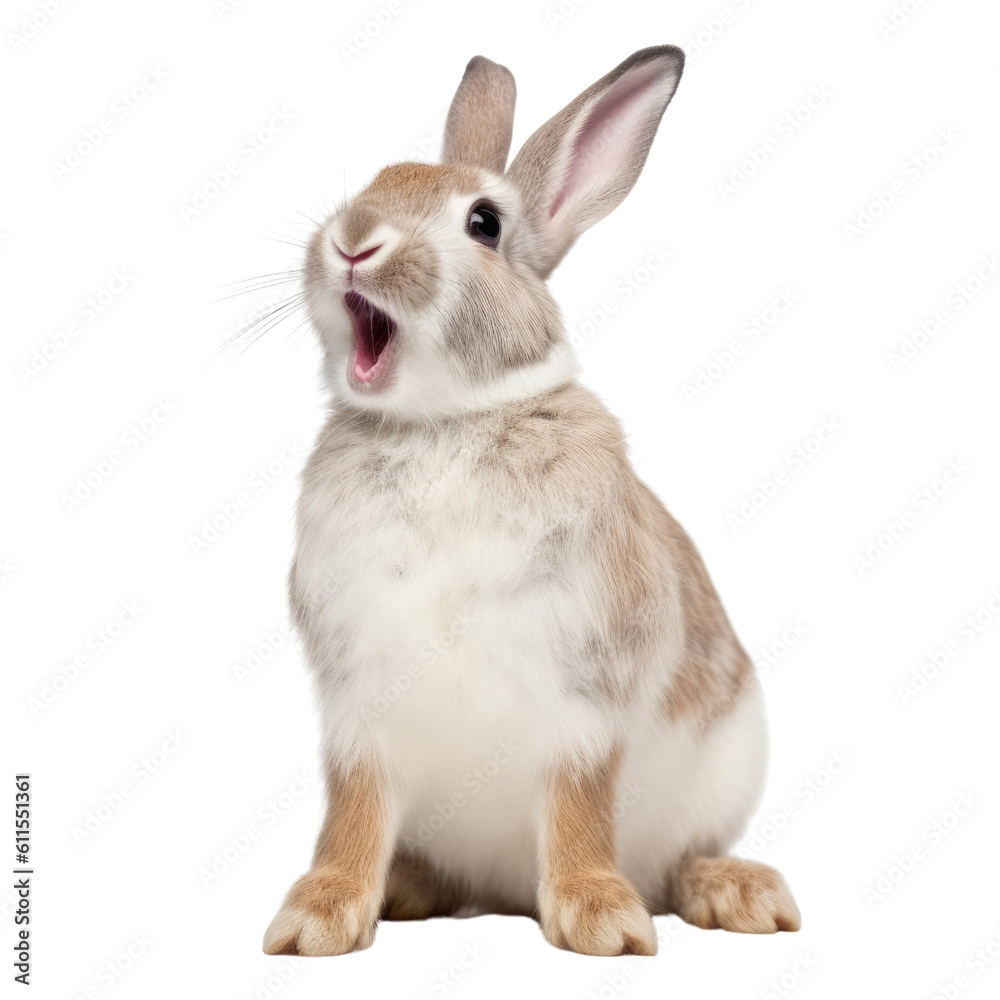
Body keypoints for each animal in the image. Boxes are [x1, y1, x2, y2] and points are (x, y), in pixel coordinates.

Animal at [262, 45, 800, 958]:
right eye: (375, 181)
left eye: (485, 223)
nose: (353, 242)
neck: (444, 422)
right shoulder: (358, 703)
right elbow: (353, 811)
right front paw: (319, 916)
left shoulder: (584, 693)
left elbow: (579, 803)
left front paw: (600, 919)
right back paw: (406, 888)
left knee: (679, 861)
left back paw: (739, 893)